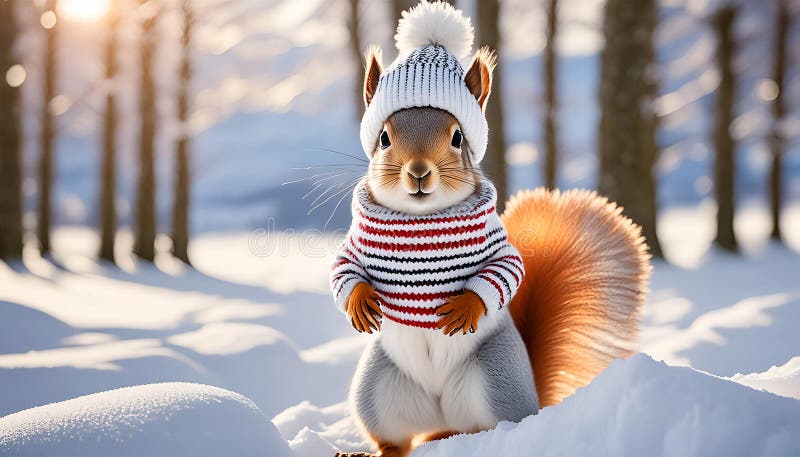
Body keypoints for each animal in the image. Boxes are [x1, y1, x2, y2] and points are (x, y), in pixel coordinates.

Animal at [330, 2, 651, 457]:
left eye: (457, 138)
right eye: (385, 139)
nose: (418, 172)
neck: (421, 218)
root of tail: (442, 415)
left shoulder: (497, 244)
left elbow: (505, 270)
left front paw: (468, 304)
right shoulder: (356, 244)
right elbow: (343, 269)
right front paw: (358, 301)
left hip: (495, 378)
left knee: (492, 424)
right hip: (376, 390)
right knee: (396, 440)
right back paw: (373, 451)